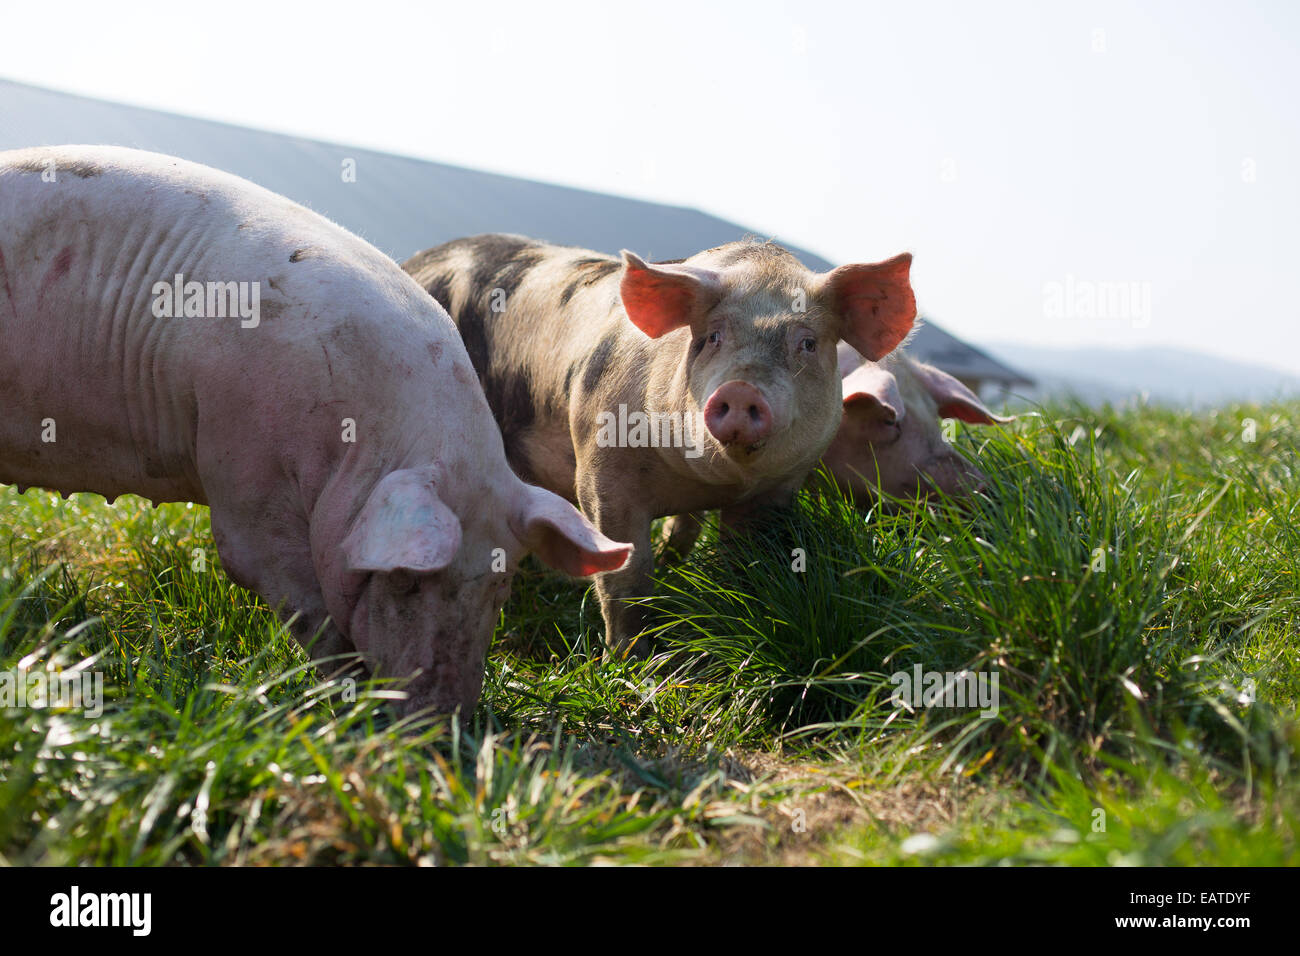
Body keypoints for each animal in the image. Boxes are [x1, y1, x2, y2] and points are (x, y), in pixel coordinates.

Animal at [0, 146, 630, 718]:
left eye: (499, 587)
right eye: (406, 582)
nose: (439, 719)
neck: (360, 443)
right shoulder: (240, 463)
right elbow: (271, 576)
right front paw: (345, 698)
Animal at [403, 235, 916, 655]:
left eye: (807, 343)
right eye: (712, 336)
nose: (740, 390)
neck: (706, 482)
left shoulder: (778, 489)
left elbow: (731, 556)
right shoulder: (601, 474)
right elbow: (626, 575)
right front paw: (630, 659)